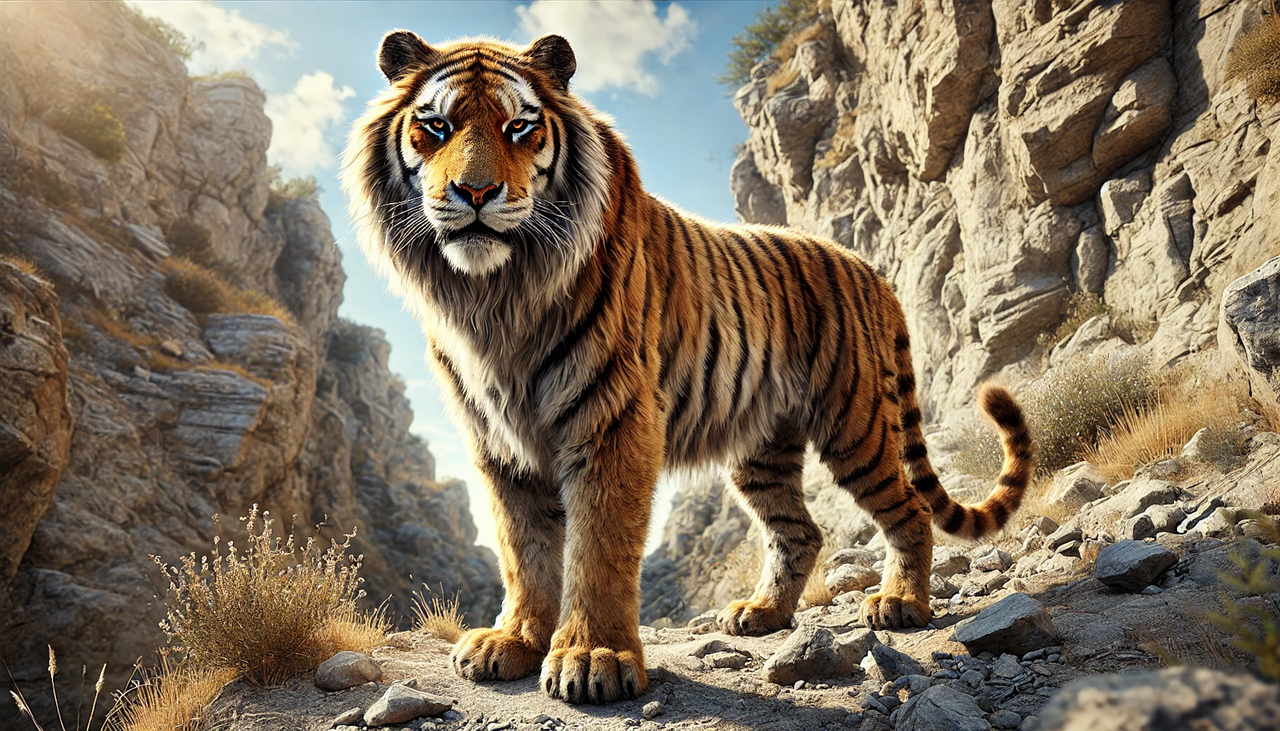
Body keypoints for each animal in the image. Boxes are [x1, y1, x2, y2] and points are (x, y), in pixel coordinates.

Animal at [341, 31, 1033, 705]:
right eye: (436, 126)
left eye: (519, 127)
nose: (477, 193)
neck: (493, 293)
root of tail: (871, 269)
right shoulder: (498, 439)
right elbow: (524, 549)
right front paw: (512, 643)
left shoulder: (613, 416)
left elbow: (599, 544)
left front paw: (592, 659)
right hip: (762, 449)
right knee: (799, 531)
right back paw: (761, 614)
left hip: (854, 424)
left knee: (908, 509)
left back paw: (900, 604)